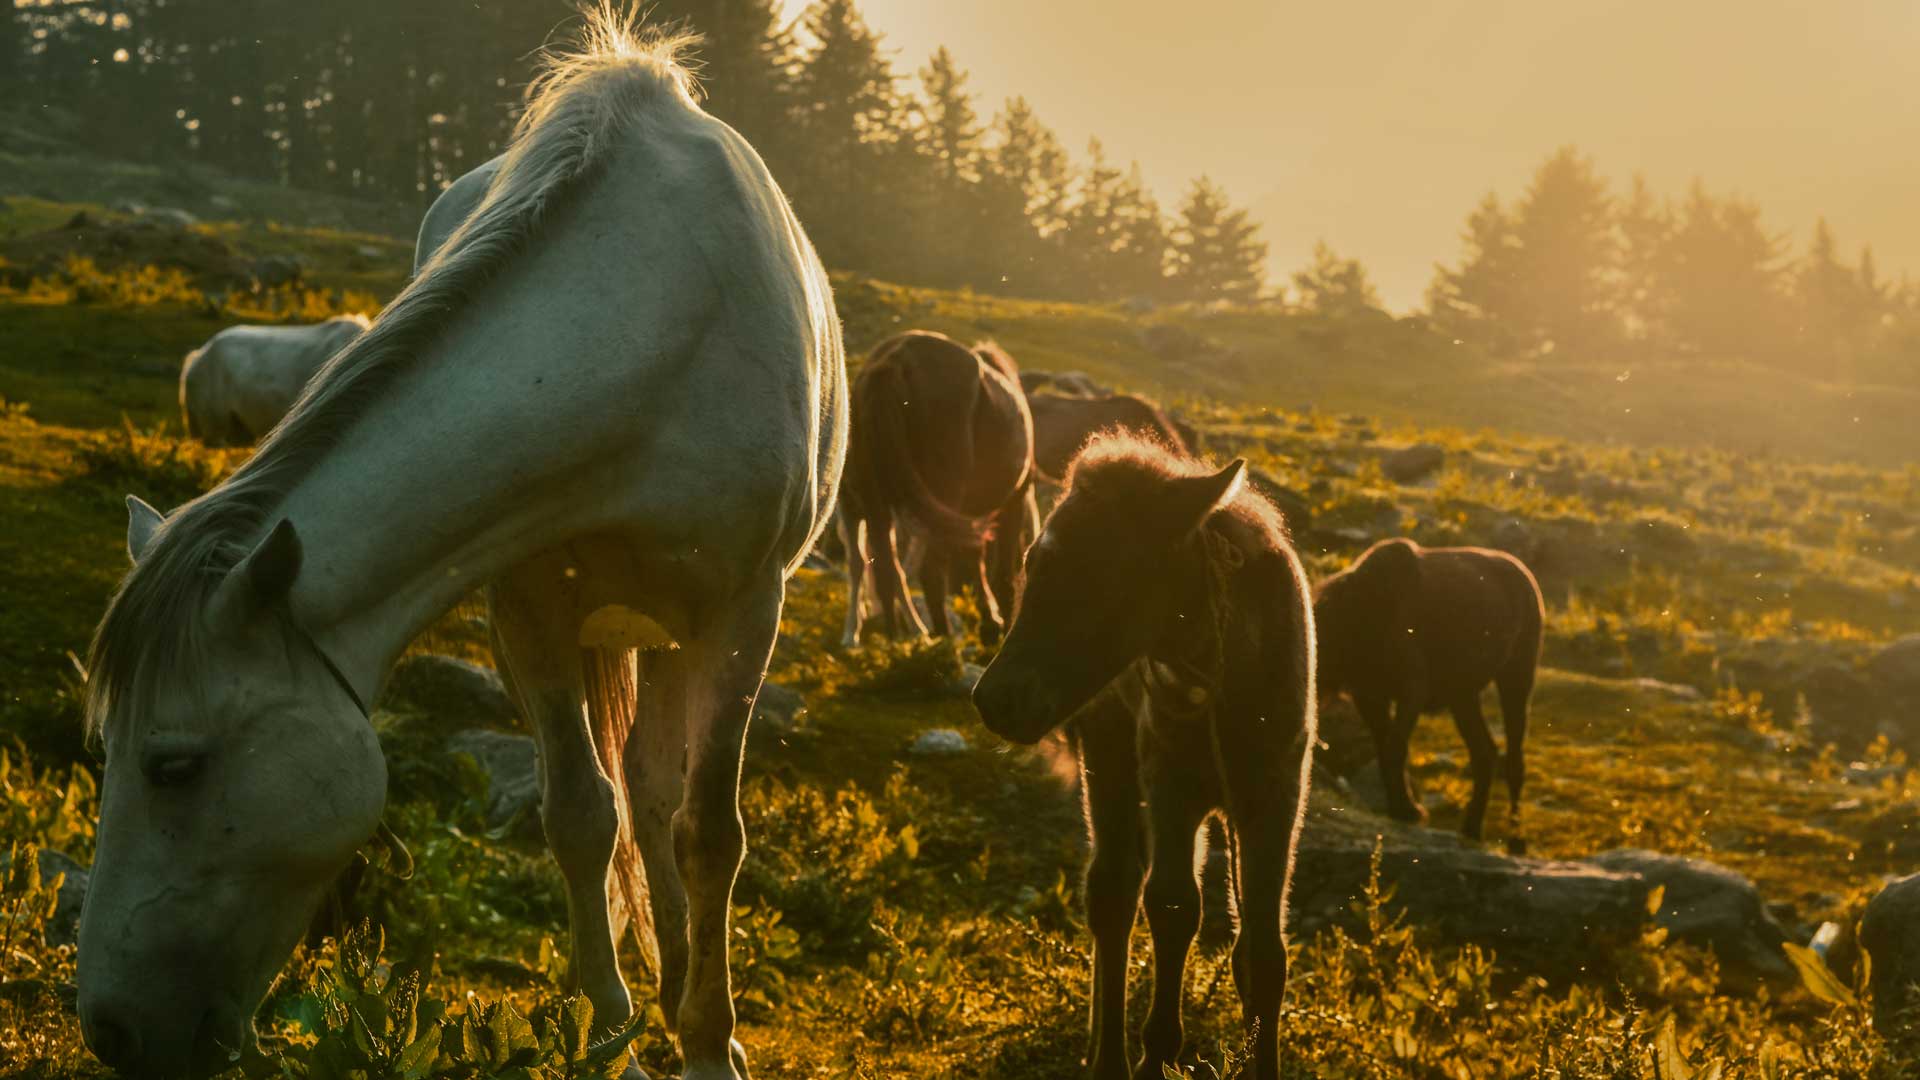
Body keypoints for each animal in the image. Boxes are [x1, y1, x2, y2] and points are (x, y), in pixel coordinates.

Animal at [838, 330, 1034, 648]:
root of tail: (894, 360)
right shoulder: (1011, 504)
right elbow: (1001, 574)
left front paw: (990, 623)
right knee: (929, 569)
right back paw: (941, 637)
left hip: (878, 505)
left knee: (885, 566)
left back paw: (895, 638)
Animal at [973, 434, 1316, 1080]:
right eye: (1032, 563)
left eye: (1104, 573)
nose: (997, 701)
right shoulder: (1169, 783)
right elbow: (1174, 906)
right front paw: (1156, 1050)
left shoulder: (1273, 792)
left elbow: (1262, 948)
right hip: (1109, 753)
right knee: (1113, 891)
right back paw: (1106, 1057)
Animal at [1314, 537, 1542, 847]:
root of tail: (1529, 581)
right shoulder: (1369, 695)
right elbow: (1384, 749)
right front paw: (1401, 806)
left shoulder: (1412, 688)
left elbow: (1396, 748)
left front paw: (1409, 809)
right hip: (1462, 694)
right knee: (1485, 752)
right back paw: (1471, 826)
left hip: (1517, 672)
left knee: (1515, 758)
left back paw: (1515, 837)